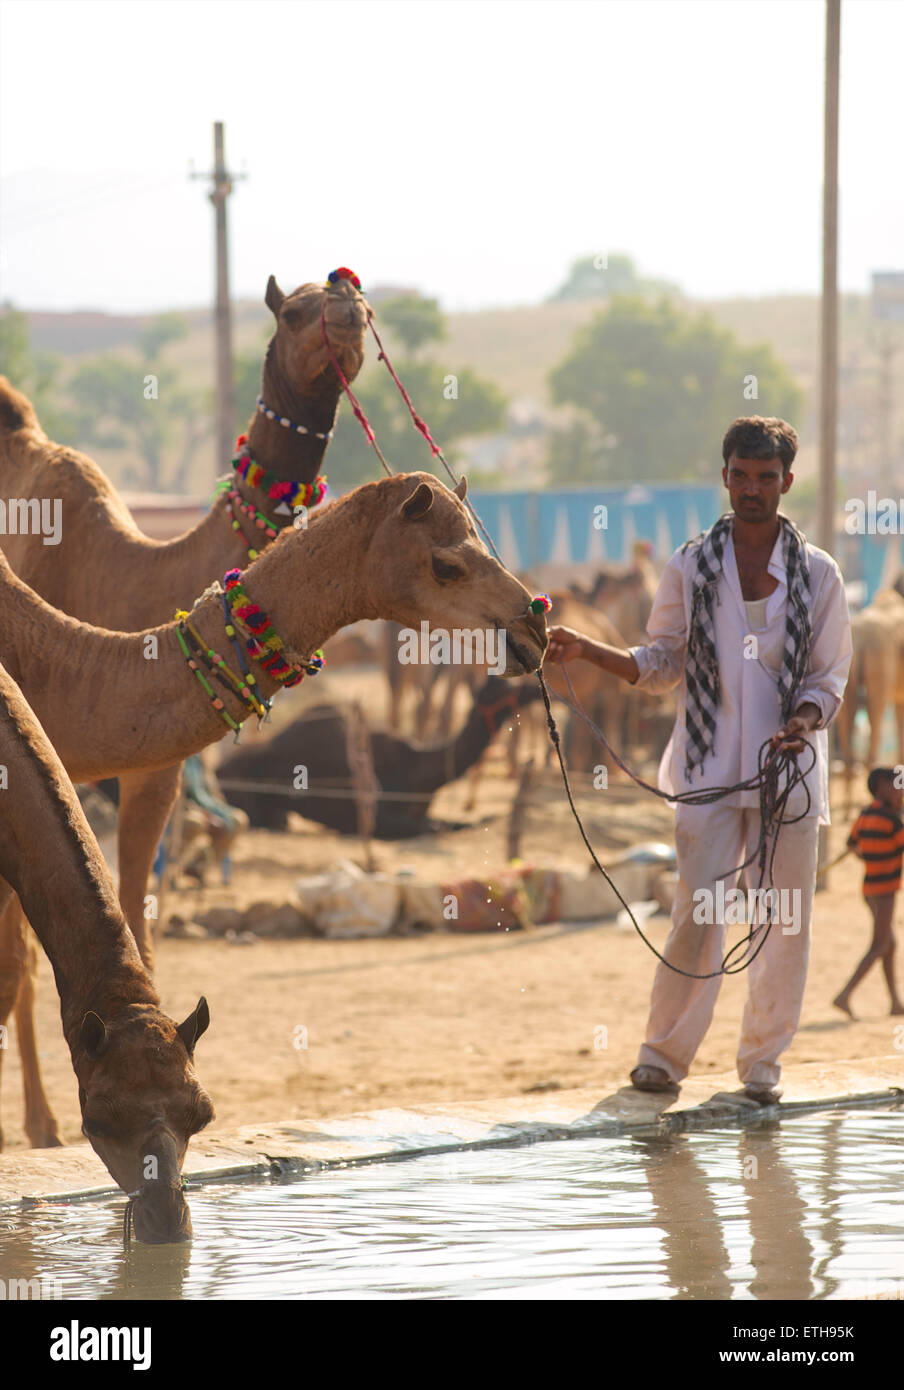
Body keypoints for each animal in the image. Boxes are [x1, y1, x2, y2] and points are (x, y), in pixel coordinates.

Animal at [218, 674, 542, 838]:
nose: (536, 689)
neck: (417, 770)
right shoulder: (376, 816)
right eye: (501, 689)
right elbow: (432, 828)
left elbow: (458, 822)